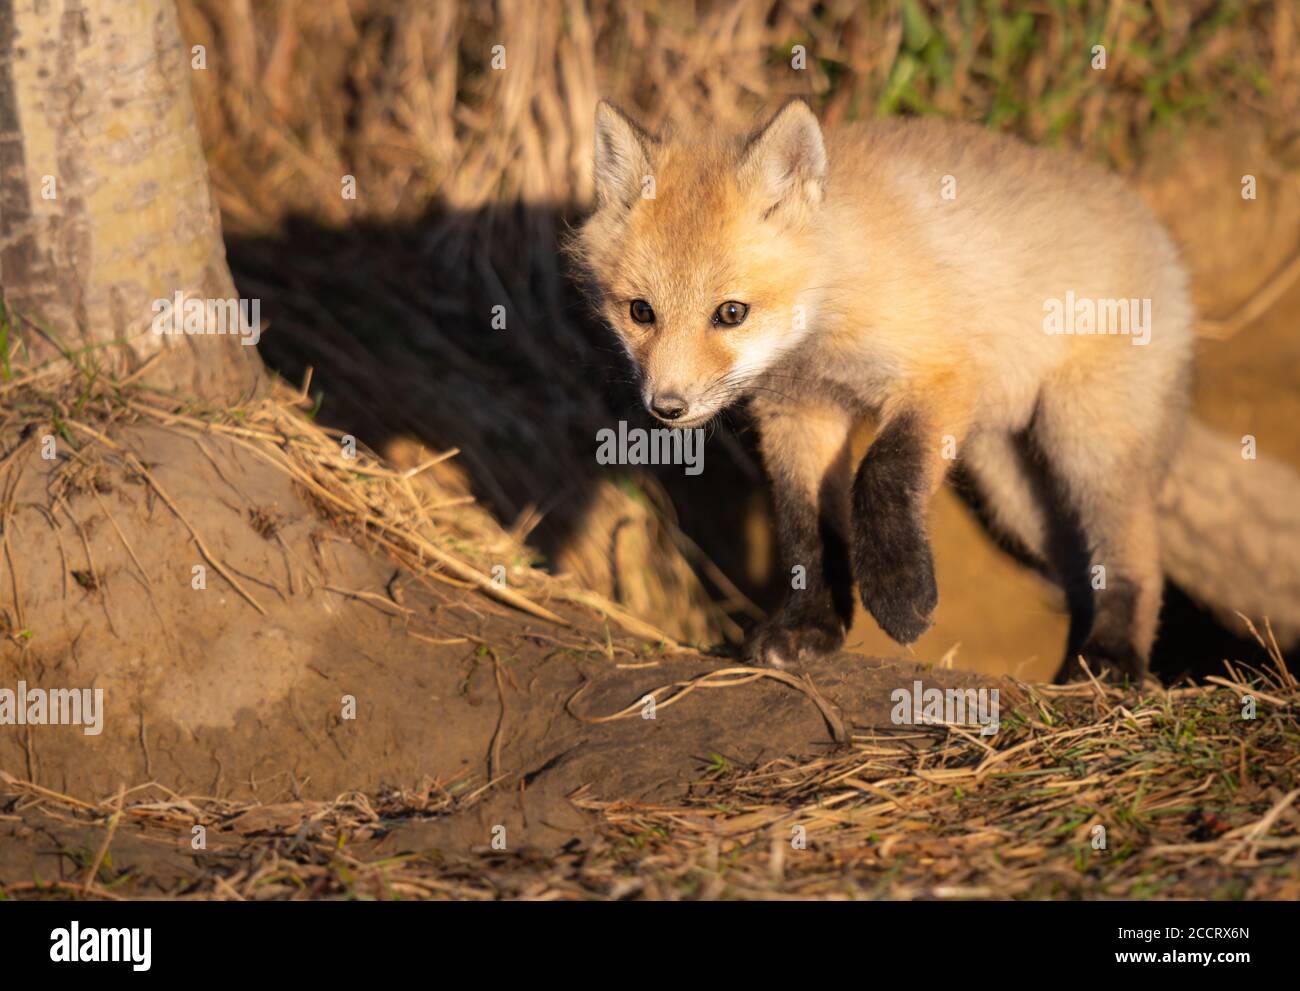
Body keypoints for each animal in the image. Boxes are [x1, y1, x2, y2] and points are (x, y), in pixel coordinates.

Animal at [570, 98, 1300, 682]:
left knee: (1140, 556)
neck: (832, 299)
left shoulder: (941, 376)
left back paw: (1114, 659)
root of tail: (1161, 238)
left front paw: (900, 597)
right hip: (1017, 491)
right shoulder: (801, 411)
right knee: (1077, 570)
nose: (667, 407)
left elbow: (879, 476)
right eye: (640, 312)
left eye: (730, 313)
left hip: (1084, 440)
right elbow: (807, 528)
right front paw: (811, 630)